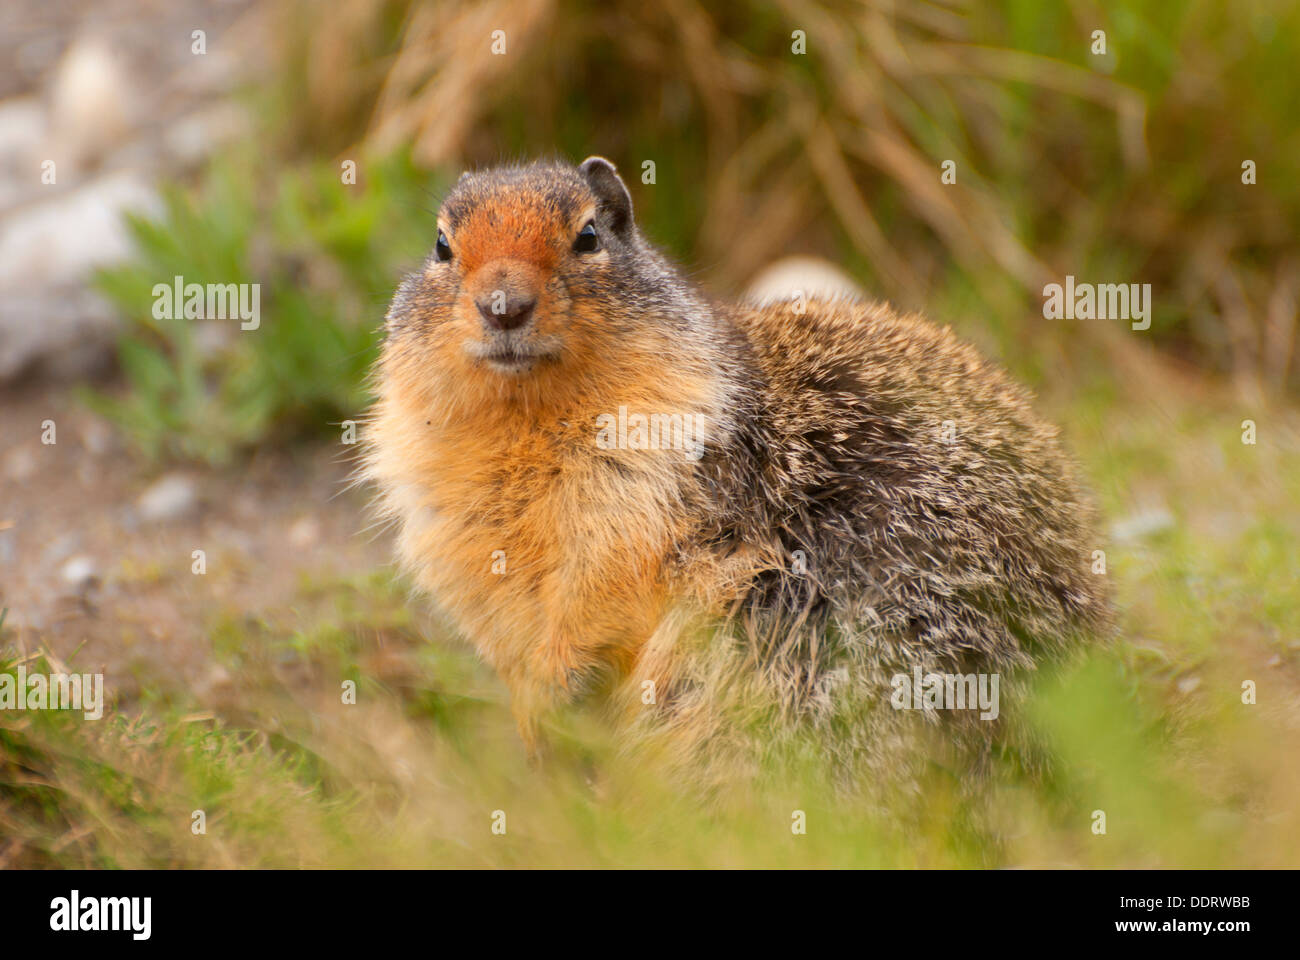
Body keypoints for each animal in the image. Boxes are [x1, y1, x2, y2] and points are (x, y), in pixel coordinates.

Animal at [363, 156, 1112, 764]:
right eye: (441, 244)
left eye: (588, 236)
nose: (504, 306)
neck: (526, 421)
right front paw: (536, 713)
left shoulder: (651, 490)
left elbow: (605, 586)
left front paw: (560, 685)